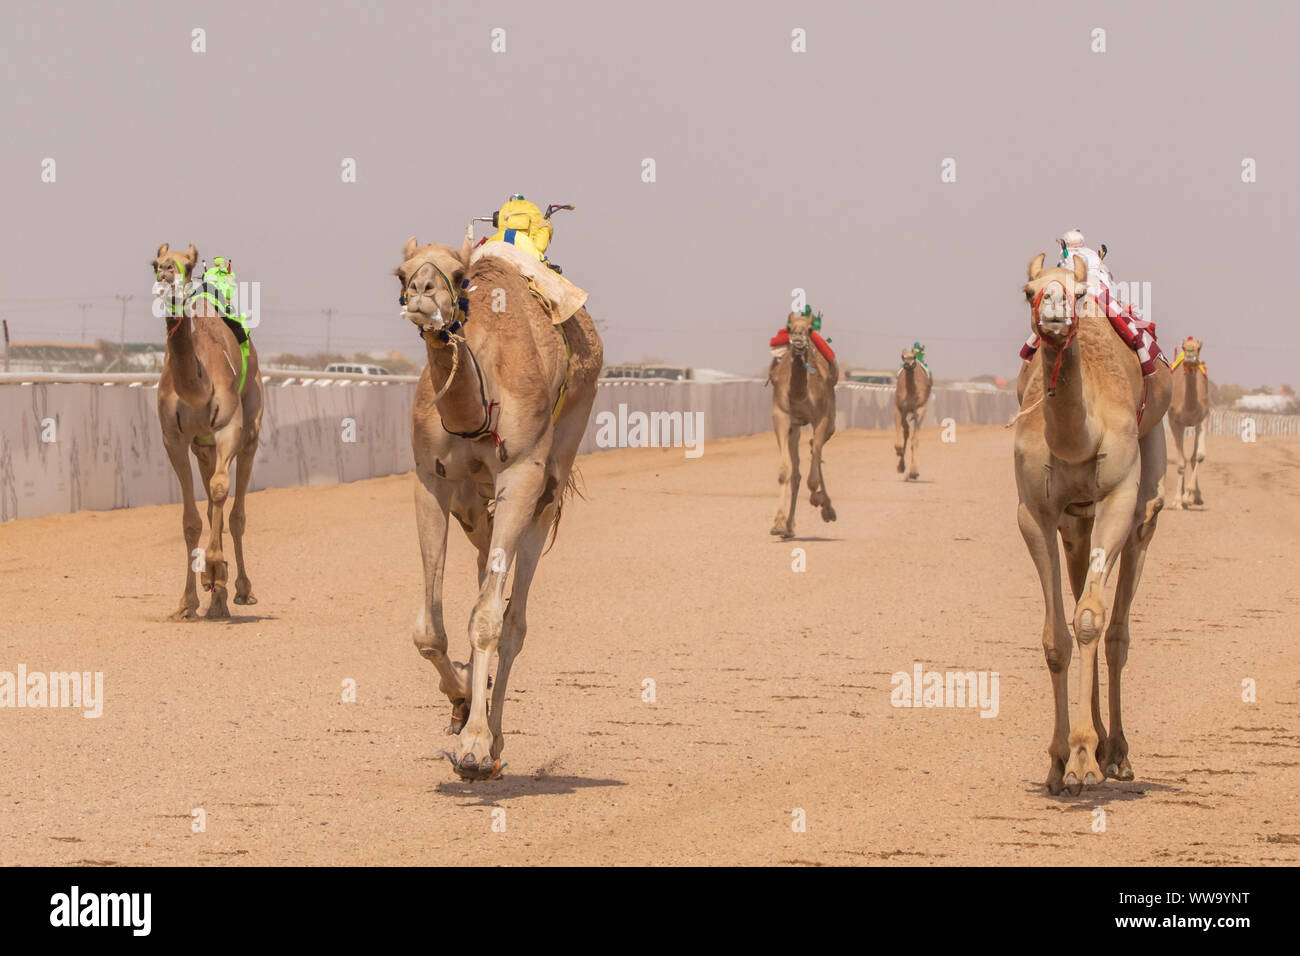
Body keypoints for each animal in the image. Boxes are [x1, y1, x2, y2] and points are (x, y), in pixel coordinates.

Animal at [152, 243, 263, 621]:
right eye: (155, 263)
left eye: (187, 266)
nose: (166, 273)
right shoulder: (173, 439)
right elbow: (191, 520)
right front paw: (187, 602)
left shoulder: (229, 428)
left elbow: (219, 492)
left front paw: (215, 569)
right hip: (203, 447)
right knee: (215, 502)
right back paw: (215, 597)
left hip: (251, 429)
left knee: (236, 511)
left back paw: (240, 590)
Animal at [398, 229, 602, 780]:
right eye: (401, 273)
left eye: (459, 275)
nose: (422, 294)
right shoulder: (430, 479)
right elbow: (429, 630)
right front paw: (461, 702)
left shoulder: (520, 476)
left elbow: (490, 621)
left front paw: (474, 745)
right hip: (472, 504)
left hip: (548, 486)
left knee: (514, 618)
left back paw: (495, 739)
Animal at [768, 310, 837, 538]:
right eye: (789, 328)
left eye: (809, 329)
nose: (798, 340)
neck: (800, 394)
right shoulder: (781, 416)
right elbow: (785, 472)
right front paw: (779, 524)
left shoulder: (822, 418)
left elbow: (813, 478)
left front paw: (819, 500)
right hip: (796, 427)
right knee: (798, 470)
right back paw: (789, 527)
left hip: (830, 422)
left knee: (816, 450)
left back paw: (827, 508)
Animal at [893, 347, 932, 479]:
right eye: (902, 356)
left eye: (914, 357)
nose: (908, 364)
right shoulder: (898, 407)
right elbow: (901, 436)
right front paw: (899, 450)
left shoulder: (920, 408)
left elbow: (915, 440)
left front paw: (914, 471)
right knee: (906, 430)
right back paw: (901, 465)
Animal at [1013, 253, 1171, 796]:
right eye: (1029, 291)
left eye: (1079, 294)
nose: (1055, 312)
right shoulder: (1034, 514)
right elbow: (1057, 637)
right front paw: (1060, 760)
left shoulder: (1117, 496)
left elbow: (1087, 620)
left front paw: (1083, 757)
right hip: (1075, 528)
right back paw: (1103, 745)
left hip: (1146, 477)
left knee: (1116, 625)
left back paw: (1117, 752)